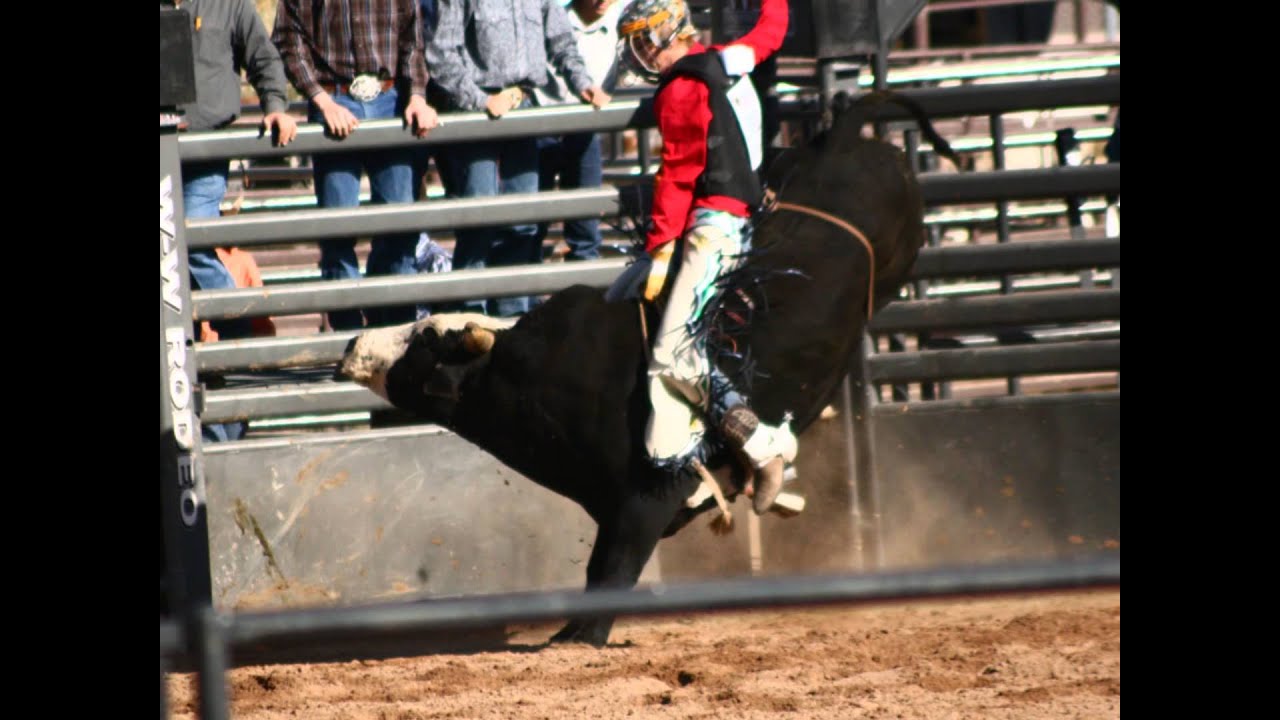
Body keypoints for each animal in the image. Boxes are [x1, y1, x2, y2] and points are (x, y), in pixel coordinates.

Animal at [337, 91, 963, 646]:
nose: (353, 343)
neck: (537, 376)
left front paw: (579, 637)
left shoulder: (647, 496)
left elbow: (611, 570)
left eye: (425, 337)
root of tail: (840, 139)